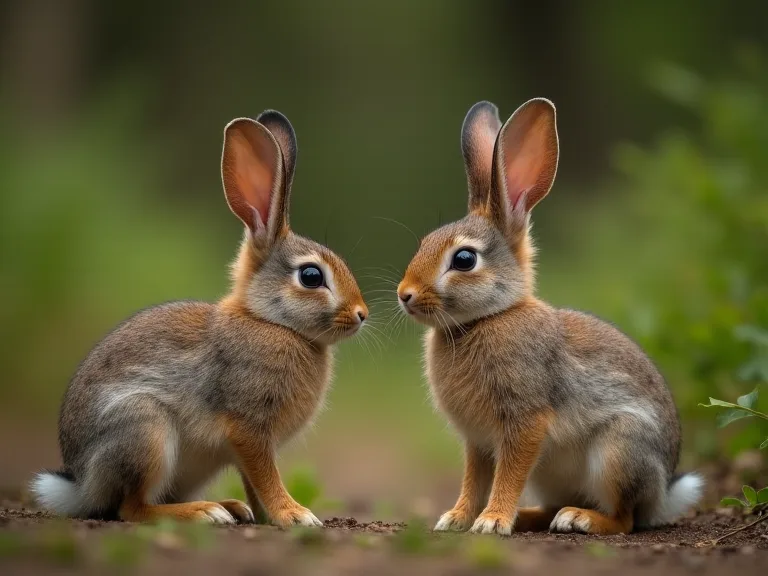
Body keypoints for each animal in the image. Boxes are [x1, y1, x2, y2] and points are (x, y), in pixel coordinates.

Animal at [30, 110, 368, 527]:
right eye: (311, 276)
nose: (361, 314)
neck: (270, 322)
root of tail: (80, 486)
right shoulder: (248, 428)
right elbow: (266, 476)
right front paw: (294, 514)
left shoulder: (245, 447)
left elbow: (254, 481)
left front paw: (267, 515)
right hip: (145, 430)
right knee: (132, 508)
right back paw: (204, 512)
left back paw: (229, 507)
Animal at [396, 99, 702, 535]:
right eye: (423, 244)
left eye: (464, 259)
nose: (404, 294)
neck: (488, 318)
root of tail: (662, 495)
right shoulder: (478, 441)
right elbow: (473, 479)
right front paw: (456, 518)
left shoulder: (525, 423)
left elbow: (507, 474)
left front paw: (491, 521)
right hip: (551, 474)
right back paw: (532, 516)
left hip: (618, 451)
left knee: (624, 519)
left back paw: (579, 519)